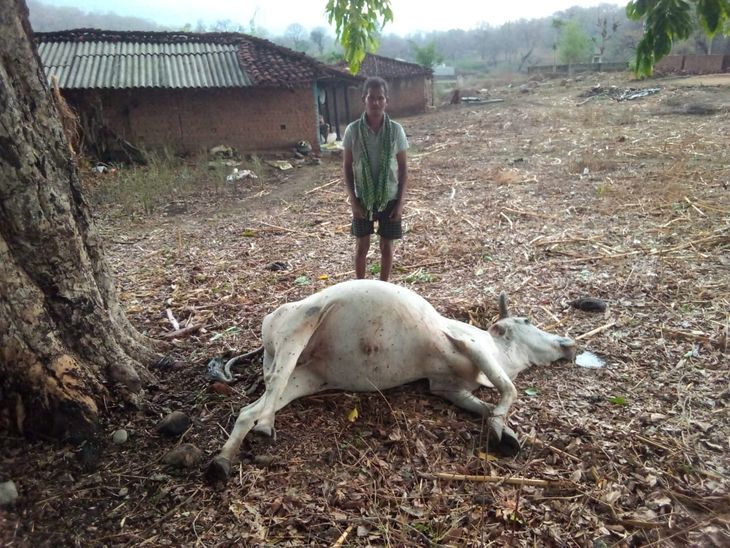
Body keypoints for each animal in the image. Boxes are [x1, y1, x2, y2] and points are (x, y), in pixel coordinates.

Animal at [206, 279, 576, 483]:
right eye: (526, 320)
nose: (568, 343)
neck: (499, 350)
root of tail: (271, 317)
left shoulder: (448, 389)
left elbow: (485, 405)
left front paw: (505, 432)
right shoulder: (471, 346)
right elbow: (509, 390)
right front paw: (502, 428)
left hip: (304, 377)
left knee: (256, 405)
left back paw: (252, 437)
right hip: (298, 332)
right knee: (256, 405)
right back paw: (224, 460)